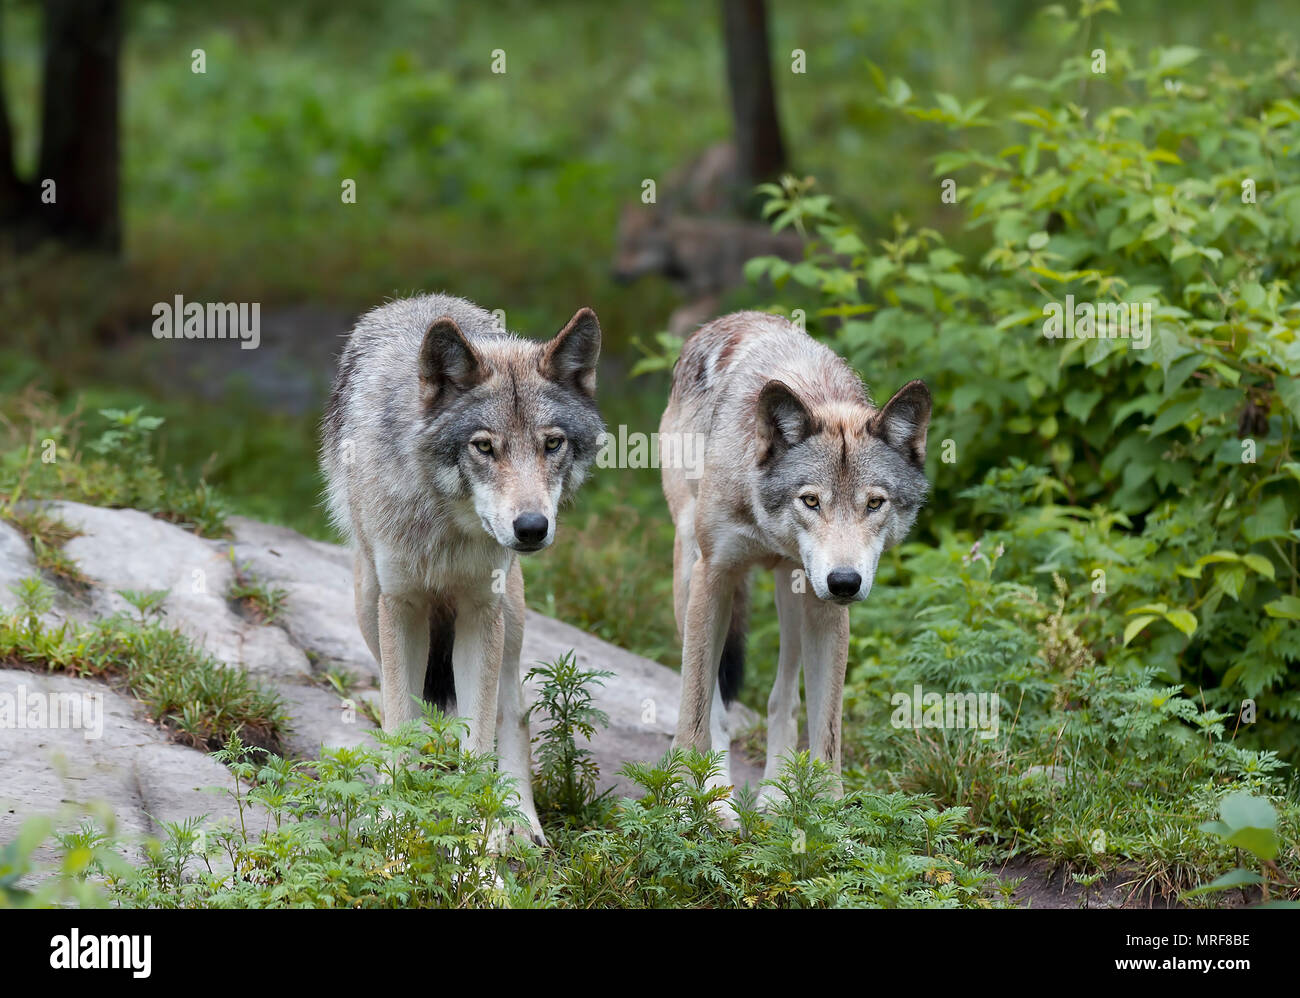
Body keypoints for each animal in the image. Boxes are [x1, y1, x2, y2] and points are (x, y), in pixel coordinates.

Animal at [321, 294, 603, 845]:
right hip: (368, 604)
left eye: (552, 444)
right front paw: (394, 825)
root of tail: (422, 301)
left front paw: (478, 840)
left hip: (510, 614)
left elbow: (480, 738)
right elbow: (400, 724)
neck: (446, 525)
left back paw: (523, 824)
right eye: (484, 446)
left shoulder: (480, 609)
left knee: (512, 713)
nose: (531, 527)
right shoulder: (400, 608)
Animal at [659, 311, 931, 809]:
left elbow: (826, 732)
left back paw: (772, 797)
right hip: (690, 571)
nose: (845, 581)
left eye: (874, 504)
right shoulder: (714, 576)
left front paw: (827, 817)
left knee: (782, 698)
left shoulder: (826, 607)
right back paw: (720, 798)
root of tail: (729, 318)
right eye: (810, 500)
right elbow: (696, 714)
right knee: (716, 705)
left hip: (792, 591)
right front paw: (688, 808)